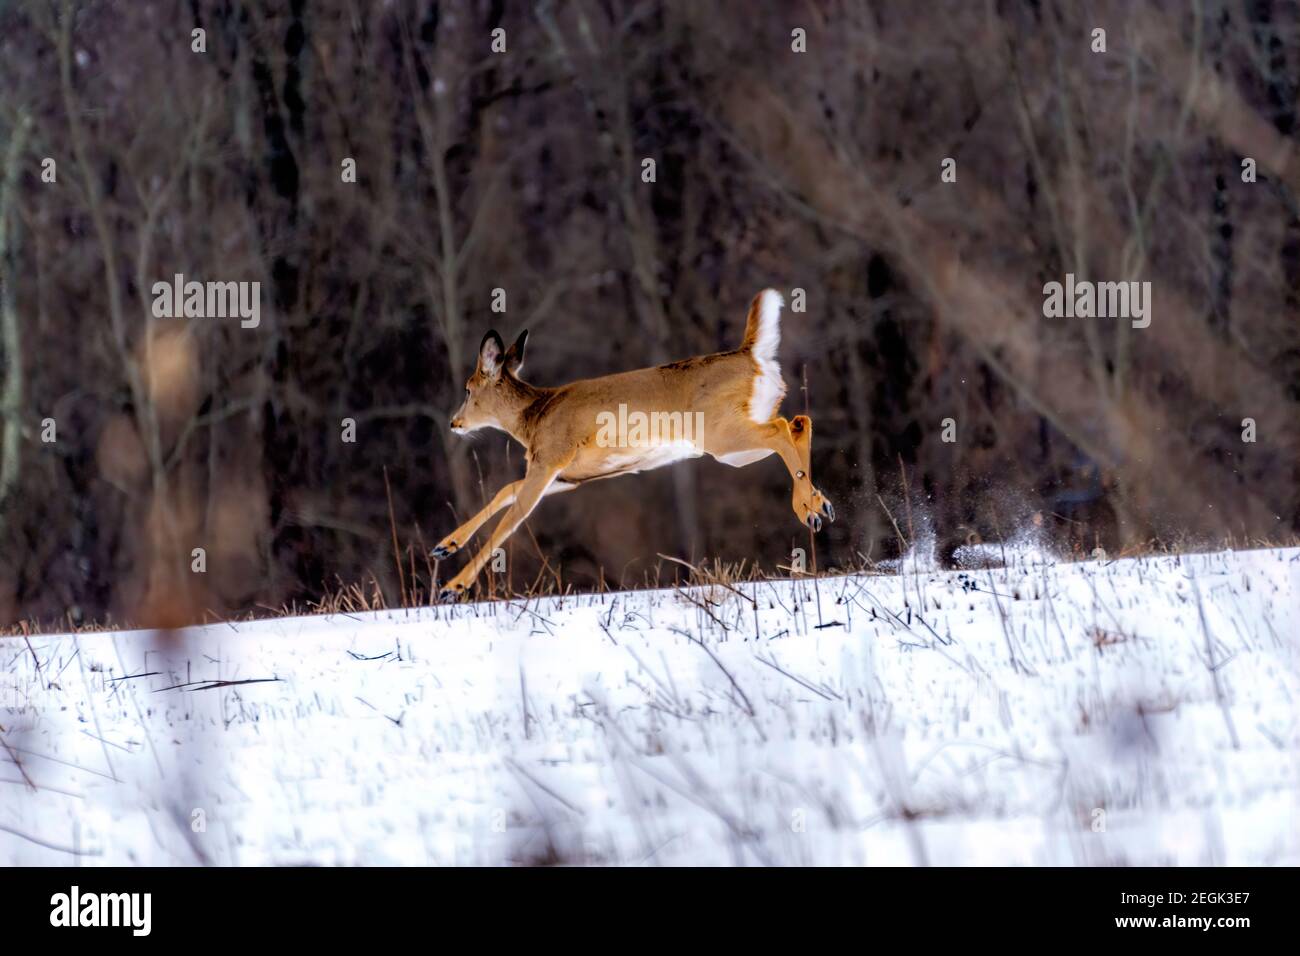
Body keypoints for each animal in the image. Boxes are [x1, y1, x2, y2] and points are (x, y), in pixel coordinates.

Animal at [433, 288, 834, 601]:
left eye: (468, 389)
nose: (454, 423)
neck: (533, 418)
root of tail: (752, 355)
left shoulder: (550, 460)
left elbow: (511, 520)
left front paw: (453, 586)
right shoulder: (569, 475)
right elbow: (507, 490)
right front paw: (443, 546)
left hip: (720, 435)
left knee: (782, 429)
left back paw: (810, 510)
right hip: (737, 448)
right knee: (798, 422)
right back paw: (819, 507)